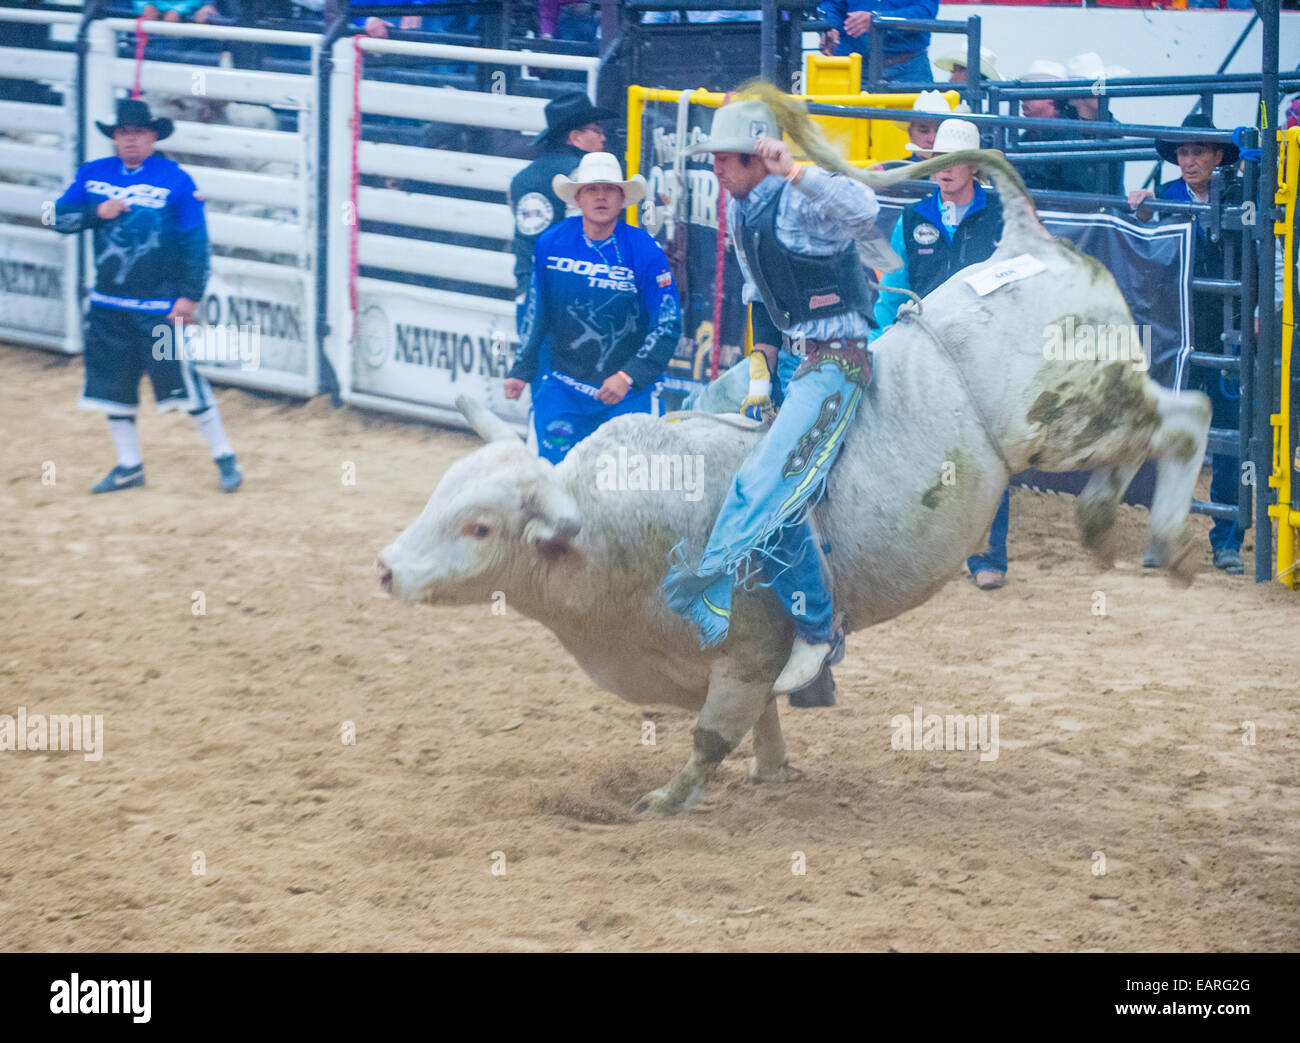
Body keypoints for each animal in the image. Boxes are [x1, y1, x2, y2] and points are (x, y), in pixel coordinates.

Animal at [376, 144, 1211, 815]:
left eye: (480, 526)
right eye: (440, 495)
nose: (386, 568)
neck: (619, 530)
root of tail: (1029, 237)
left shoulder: (745, 651)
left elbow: (711, 735)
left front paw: (668, 799)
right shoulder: (730, 666)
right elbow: (761, 725)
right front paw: (774, 774)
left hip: (1073, 415)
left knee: (1185, 415)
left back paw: (1163, 540)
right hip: (1088, 413)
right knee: (1154, 431)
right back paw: (1101, 522)